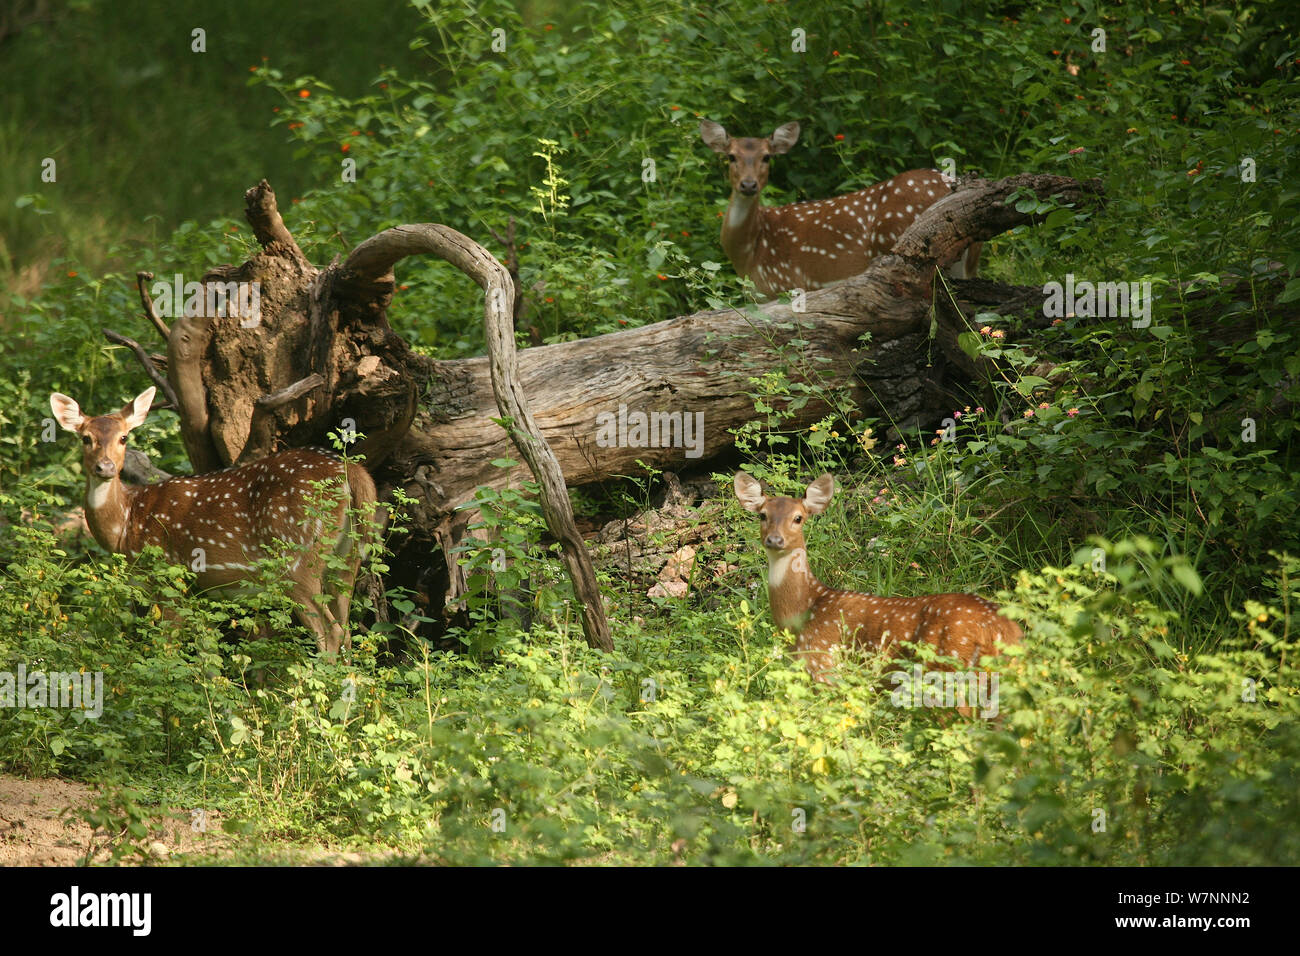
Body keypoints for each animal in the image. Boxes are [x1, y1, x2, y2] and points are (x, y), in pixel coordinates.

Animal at [49, 386, 381, 657]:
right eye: (86, 438)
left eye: (123, 437)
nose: (105, 467)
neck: (128, 523)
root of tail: (352, 472)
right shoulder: (201, 593)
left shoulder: (170, 578)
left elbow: (165, 650)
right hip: (346, 557)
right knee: (346, 629)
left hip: (295, 556)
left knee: (330, 631)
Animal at [700, 119, 981, 297]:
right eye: (731, 156)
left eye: (767, 157)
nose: (748, 185)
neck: (750, 253)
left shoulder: (786, 284)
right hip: (968, 264)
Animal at [734, 472, 1021, 692]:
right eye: (762, 515)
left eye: (798, 518)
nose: (775, 539)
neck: (803, 612)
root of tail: (1005, 629)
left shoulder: (824, 663)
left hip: (950, 665)